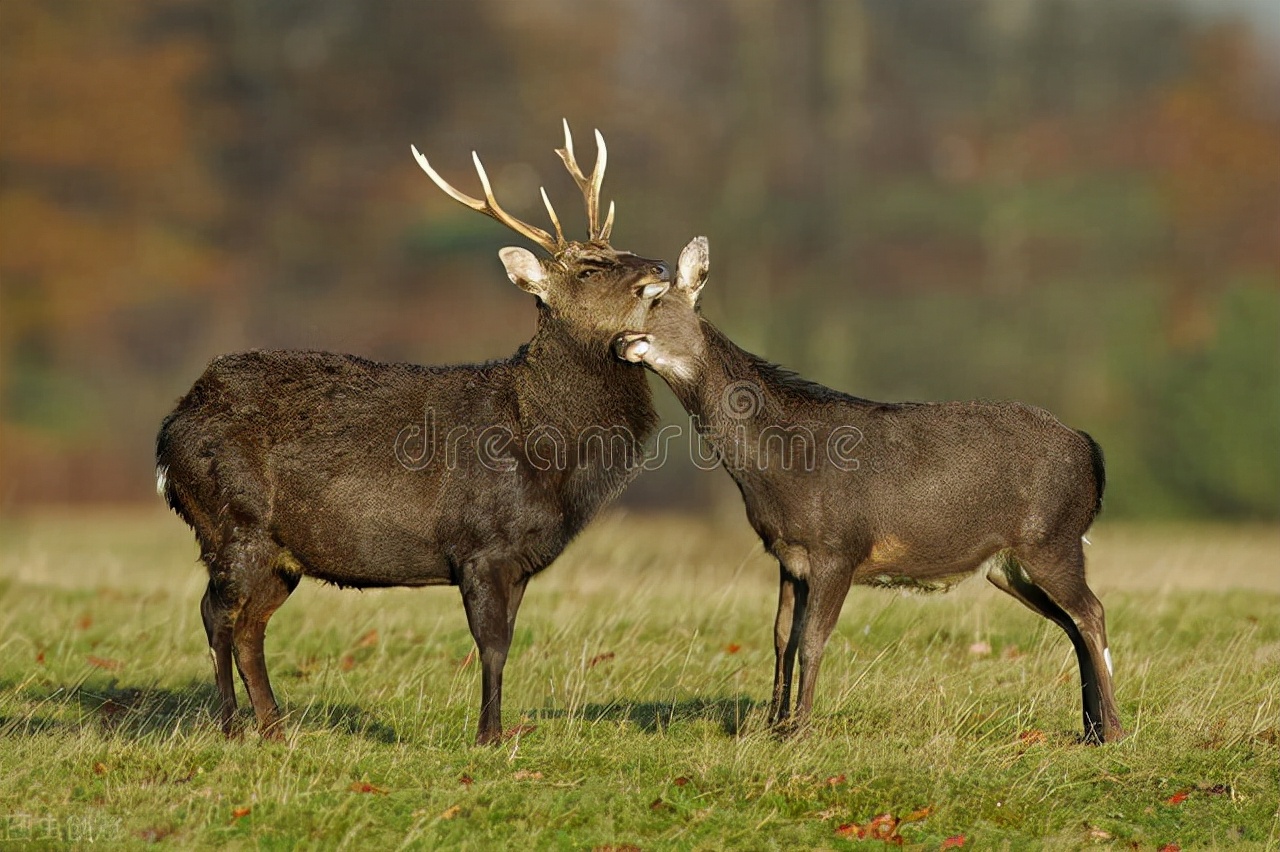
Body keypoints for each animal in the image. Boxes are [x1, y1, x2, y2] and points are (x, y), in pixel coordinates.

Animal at [156, 122, 678, 745]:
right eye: (589, 269)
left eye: (621, 249)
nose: (662, 268)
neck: (545, 447)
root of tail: (171, 430)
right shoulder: (479, 542)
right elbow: (492, 646)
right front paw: (487, 738)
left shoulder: (521, 561)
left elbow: (507, 644)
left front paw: (494, 733)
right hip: (231, 517)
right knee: (217, 614)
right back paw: (233, 728)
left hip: (282, 553)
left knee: (250, 626)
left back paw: (276, 730)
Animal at [615, 237, 1124, 743]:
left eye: (654, 299)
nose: (619, 341)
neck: (780, 465)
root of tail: (1089, 449)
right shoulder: (788, 557)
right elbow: (781, 638)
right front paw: (773, 725)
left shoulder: (839, 547)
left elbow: (813, 640)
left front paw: (800, 729)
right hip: (1010, 564)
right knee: (1071, 622)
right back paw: (1089, 727)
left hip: (1051, 537)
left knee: (1092, 612)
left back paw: (1113, 730)